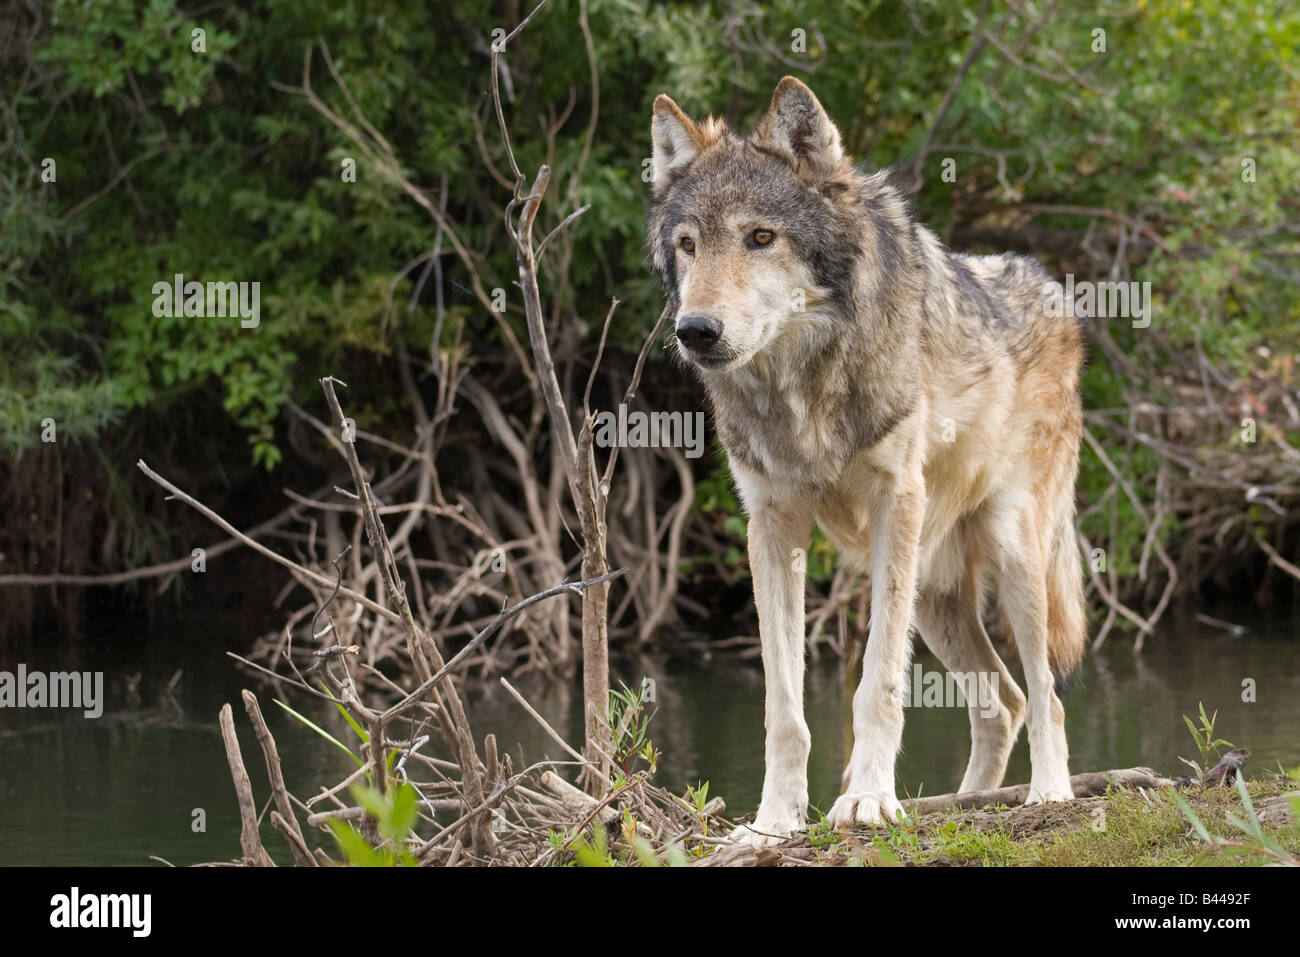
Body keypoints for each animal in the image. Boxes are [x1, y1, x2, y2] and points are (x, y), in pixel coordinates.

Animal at [647, 77, 1087, 845]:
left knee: (1043, 693)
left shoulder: (894, 506)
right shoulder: (771, 527)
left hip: (1012, 555)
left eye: (761, 237)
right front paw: (773, 821)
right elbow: (784, 707)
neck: (802, 383)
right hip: (936, 597)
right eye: (689, 244)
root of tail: (1052, 287)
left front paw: (868, 800)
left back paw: (1048, 794)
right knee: (1000, 701)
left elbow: (877, 683)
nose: (695, 330)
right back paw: (966, 804)